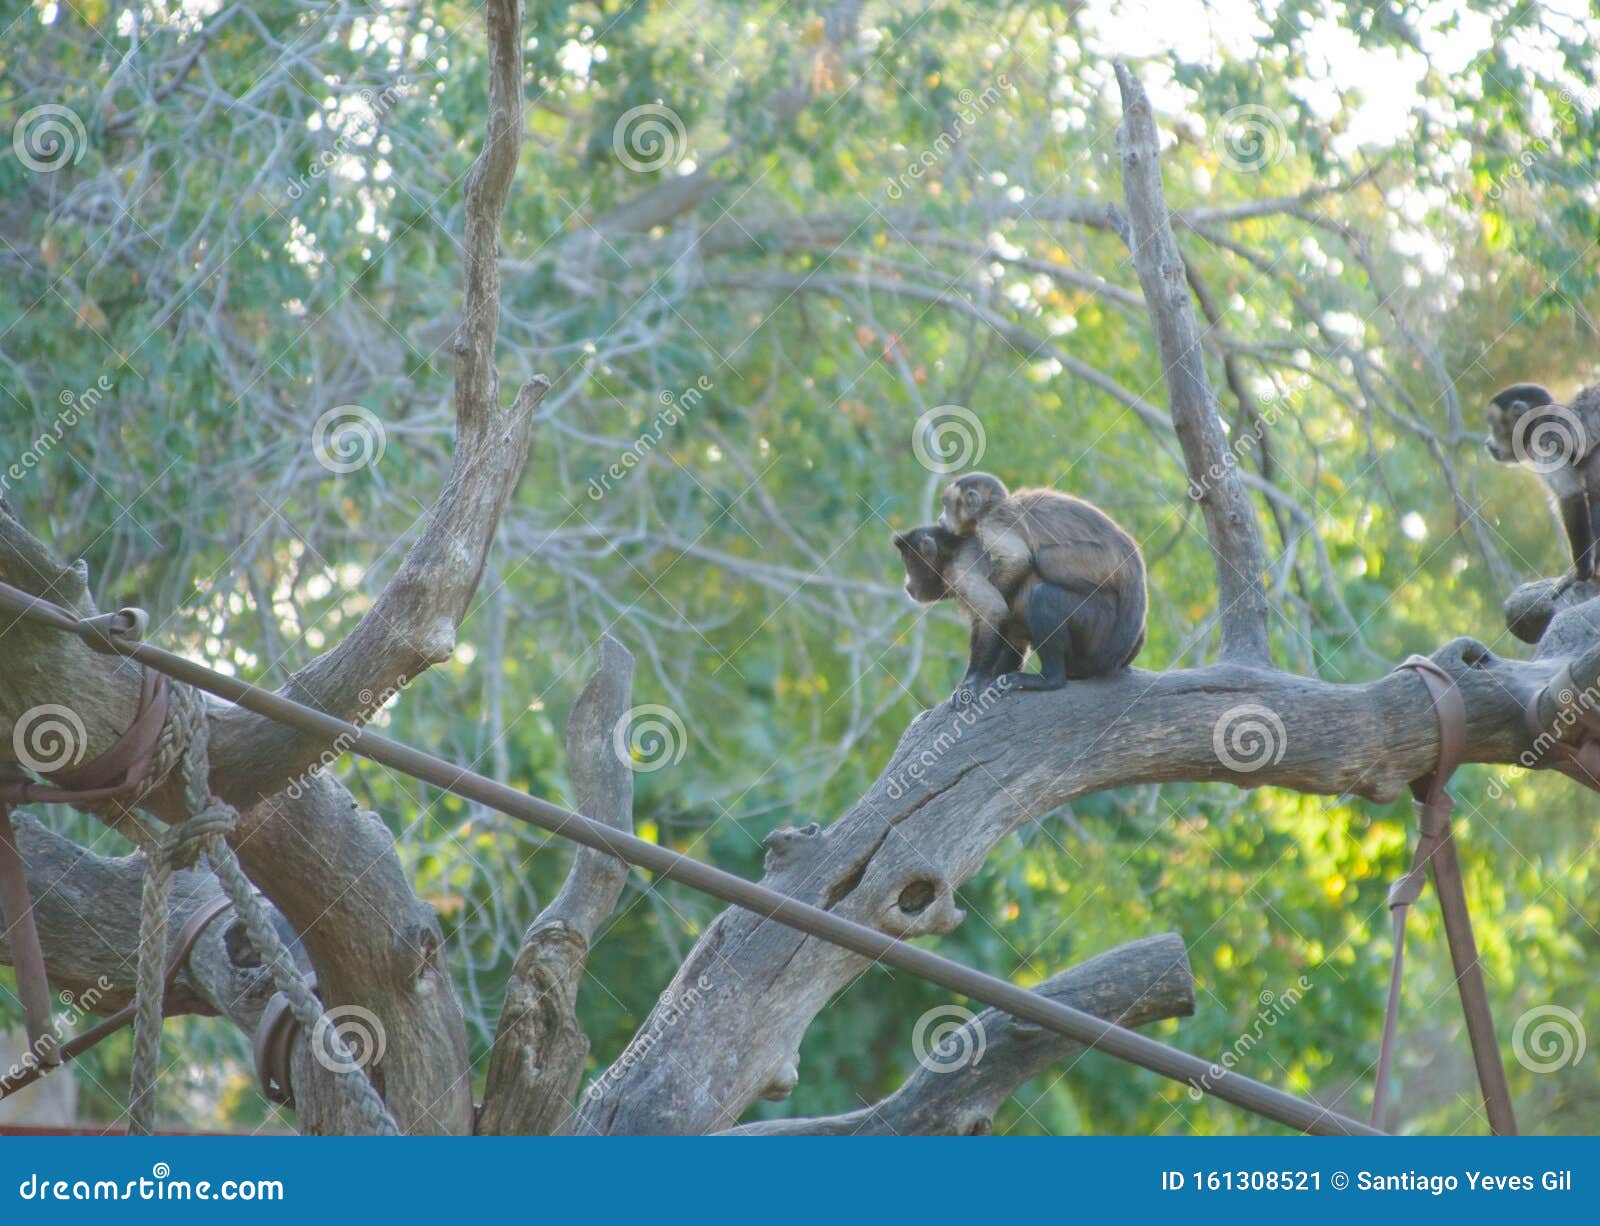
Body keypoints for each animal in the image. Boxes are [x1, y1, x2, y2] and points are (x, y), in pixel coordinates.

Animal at [934, 472, 1146, 699]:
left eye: (945, 505)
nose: (940, 519)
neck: (992, 506)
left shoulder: (992, 522)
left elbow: (1016, 561)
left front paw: (973, 680)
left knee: (1043, 580)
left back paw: (1051, 679)